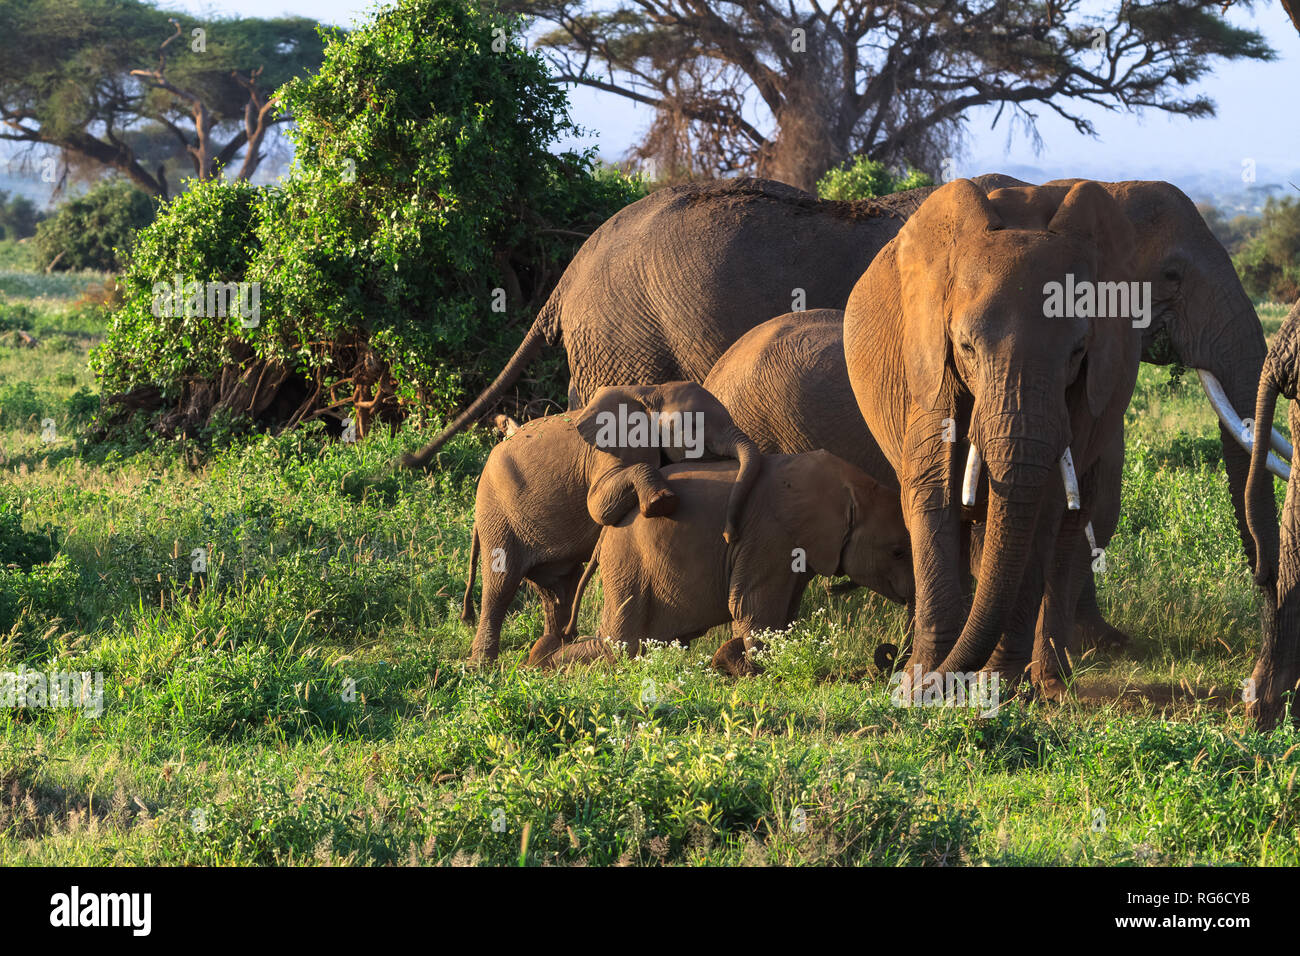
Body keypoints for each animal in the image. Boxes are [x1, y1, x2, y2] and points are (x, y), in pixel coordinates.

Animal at [462, 381, 761, 662]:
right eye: (695, 428)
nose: (729, 535)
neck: (652, 392)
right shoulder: (606, 453)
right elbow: (598, 507)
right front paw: (661, 502)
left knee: (557, 588)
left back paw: (549, 650)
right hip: (496, 512)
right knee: (501, 583)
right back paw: (482, 666)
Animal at [527, 450, 913, 674]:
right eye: (897, 552)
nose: (888, 654)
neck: (852, 485)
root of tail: (605, 533)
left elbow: (781, 615)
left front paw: (731, 661)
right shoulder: (769, 534)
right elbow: (752, 609)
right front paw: (750, 671)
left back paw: (540, 660)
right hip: (628, 564)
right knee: (621, 647)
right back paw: (542, 663)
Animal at [843, 179, 1142, 694]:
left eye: (1077, 351)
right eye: (965, 347)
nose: (886, 661)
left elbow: (1042, 509)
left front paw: (997, 685)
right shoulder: (927, 364)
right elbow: (933, 492)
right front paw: (920, 683)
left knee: (1067, 539)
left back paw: (1051, 684)